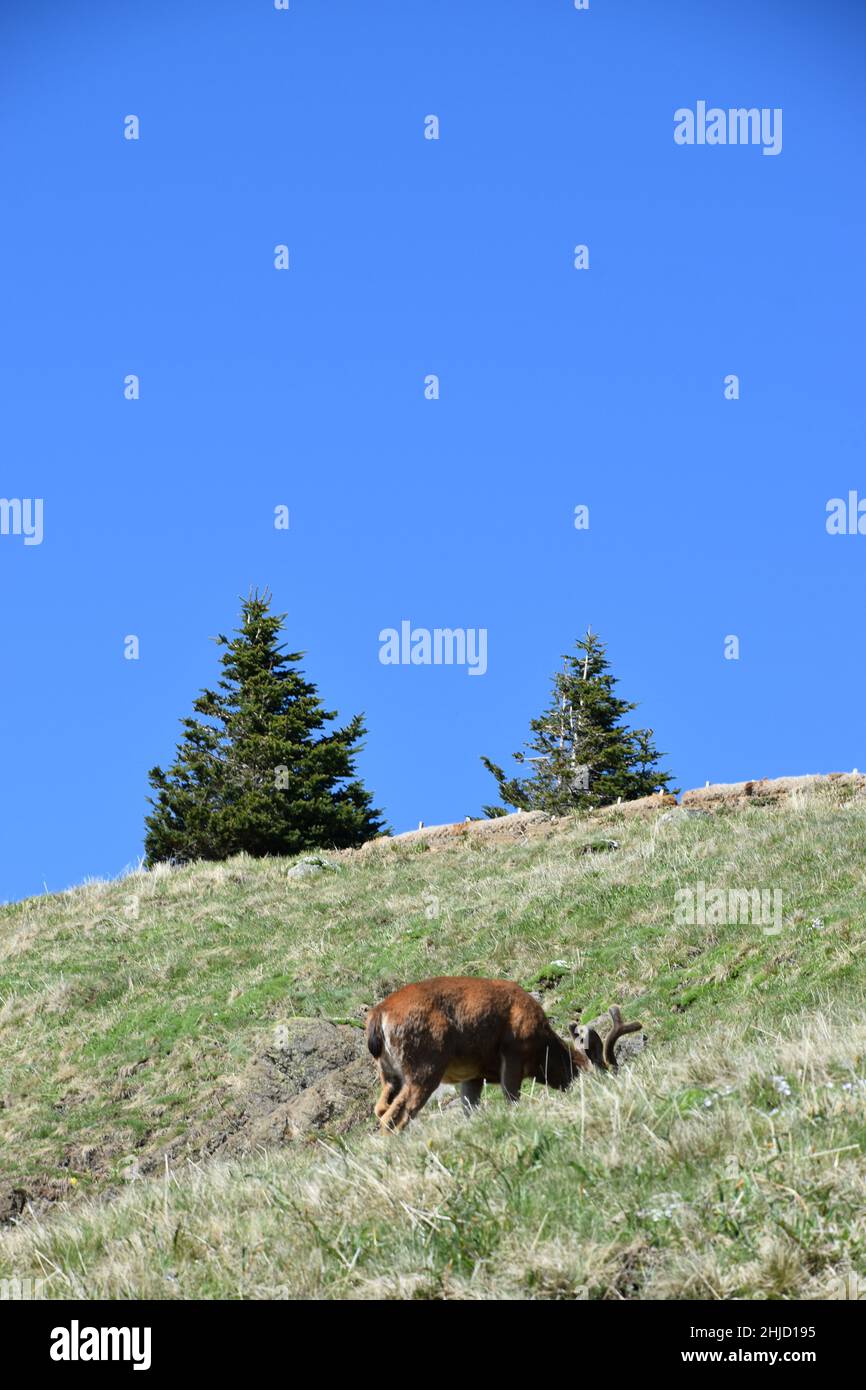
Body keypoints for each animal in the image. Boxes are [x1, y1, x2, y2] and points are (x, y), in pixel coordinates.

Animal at [366, 975, 642, 1132]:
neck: (542, 1048)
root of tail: (378, 1015)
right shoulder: (514, 1052)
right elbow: (511, 1099)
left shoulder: (473, 1076)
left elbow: (470, 1111)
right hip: (425, 1066)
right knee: (393, 1118)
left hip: (391, 1075)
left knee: (380, 1108)